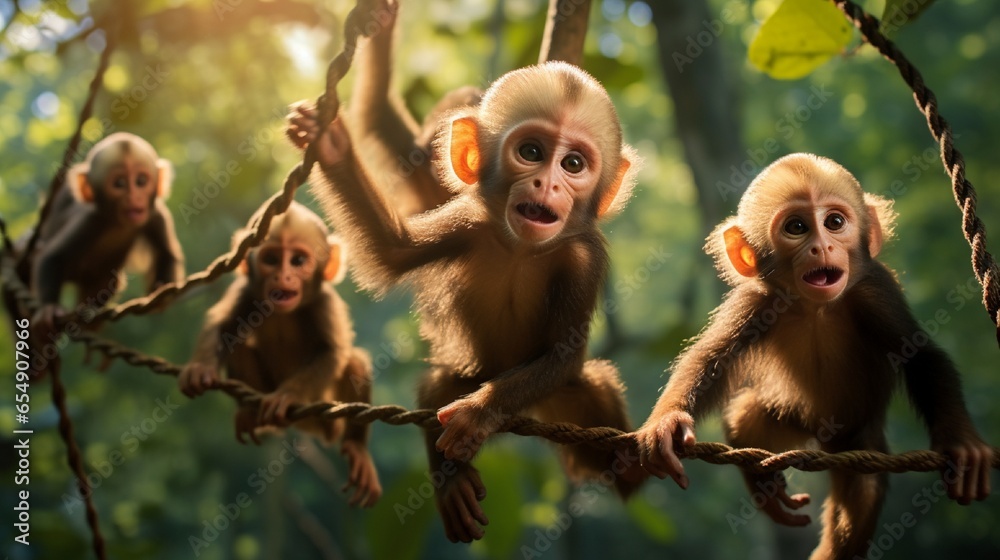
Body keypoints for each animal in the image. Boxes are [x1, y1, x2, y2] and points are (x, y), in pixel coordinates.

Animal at [15, 132, 184, 344]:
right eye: (119, 183)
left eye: (141, 181)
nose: (134, 198)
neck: (118, 223)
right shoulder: (90, 220)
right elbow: (52, 257)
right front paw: (48, 309)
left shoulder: (155, 214)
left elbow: (166, 254)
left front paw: (160, 293)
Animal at [178, 201, 381, 507]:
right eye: (272, 259)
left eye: (297, 261)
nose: (283, 276)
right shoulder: (246, 291)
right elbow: (222, 327)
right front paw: (199, 368)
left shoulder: (323, 302)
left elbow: (333, 352)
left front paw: (288, 395)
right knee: (239, 347)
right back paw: (250, 413)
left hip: (326, 417)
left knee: (354, 362)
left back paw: (356, 447)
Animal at [287, 61, 646, 541]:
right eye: (531, 152)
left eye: (573, 164)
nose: (547, 183)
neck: (521, 249)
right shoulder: (468, 221)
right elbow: (391, 250)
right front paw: (331, 142)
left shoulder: (583, 260)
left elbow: (565, 353)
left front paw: (478, 413)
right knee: (439, 386)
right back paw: (452, 481)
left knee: (596, 387)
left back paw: (636, 465)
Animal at [635, 153, 992, 559]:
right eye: (797, 227)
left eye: (834, 223)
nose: (821, 247)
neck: (816, 308)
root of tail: (826, 438)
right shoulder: (756, 301)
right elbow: (711, 359)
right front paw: (667, 422)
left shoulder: (876, 290)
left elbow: (923, 357)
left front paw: (962, 443)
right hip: (792, 416)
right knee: (747, 415)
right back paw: (765, 485)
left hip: (859, 435)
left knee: (863, 490)